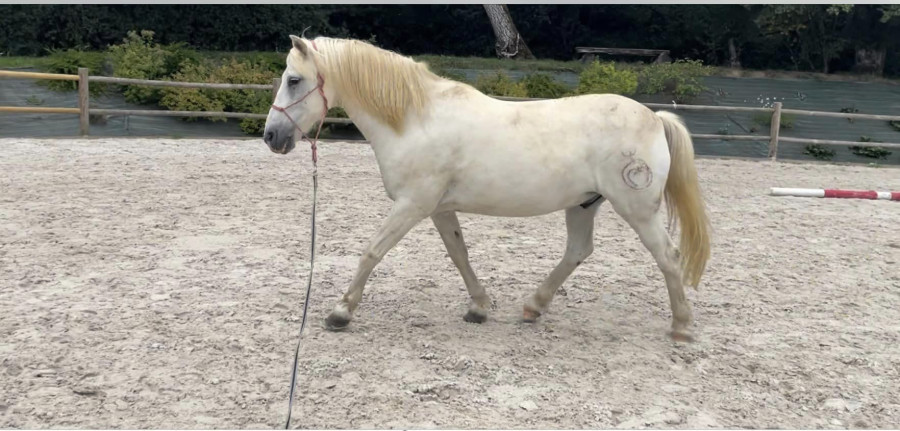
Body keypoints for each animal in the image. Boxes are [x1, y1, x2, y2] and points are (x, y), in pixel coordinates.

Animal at [263, 35, 711, 341]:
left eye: (294, 79)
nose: (271, 136)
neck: (416, 119)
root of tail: (654, 118)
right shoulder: (439, 208)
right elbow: (459, 254)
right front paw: (479, 307)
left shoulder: (412, 205)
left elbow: (372, 251)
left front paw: (341, 312)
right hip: (583, 205)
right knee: (578, 251)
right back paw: (533, 307)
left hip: (637, 209)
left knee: (668, 257)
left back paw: (682, 328)